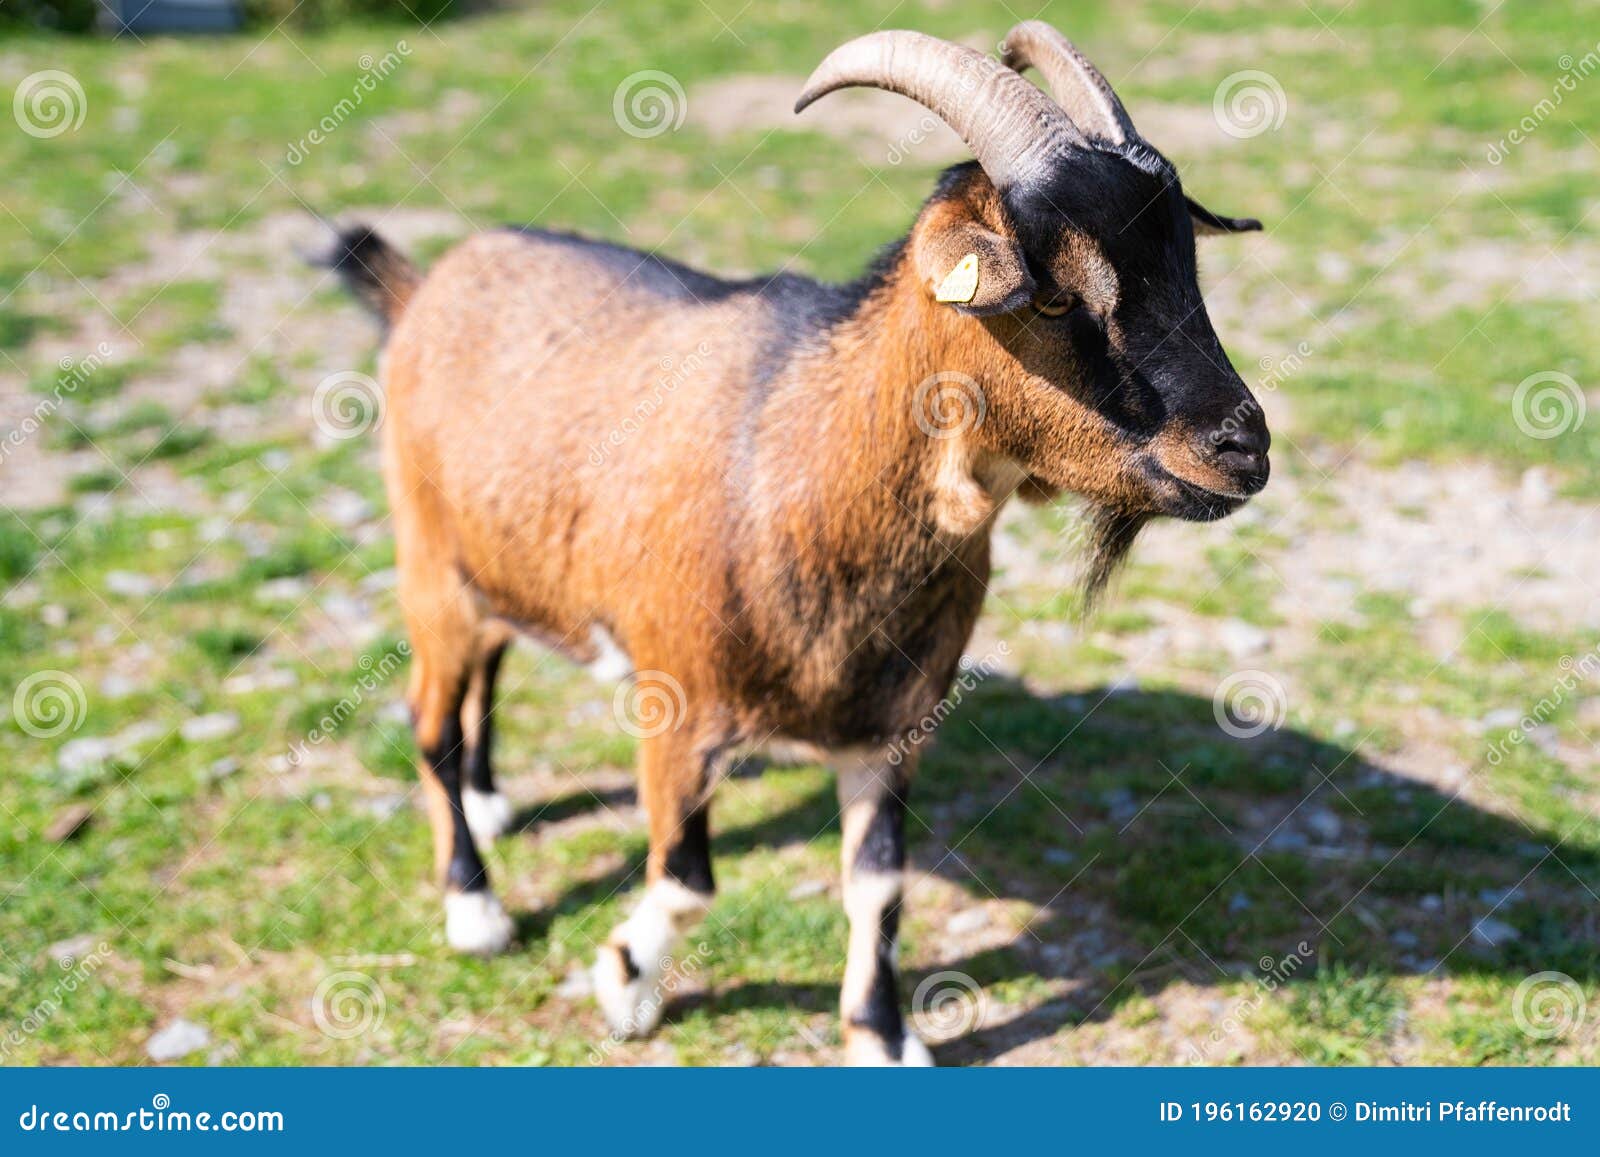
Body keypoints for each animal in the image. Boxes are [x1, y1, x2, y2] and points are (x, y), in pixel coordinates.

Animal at [328, 22, 1270, 1065]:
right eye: (1056, 297)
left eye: (1187, 262)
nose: (1244, 447)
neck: (803, 464)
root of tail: (427, 287)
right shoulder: (677, 705)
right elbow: (687, 877)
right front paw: (624, 983)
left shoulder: (893, 726)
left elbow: (880, 882)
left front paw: (882, 1033)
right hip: (428, 562)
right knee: (428, 722)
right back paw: (475, 907)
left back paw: (494, 801)